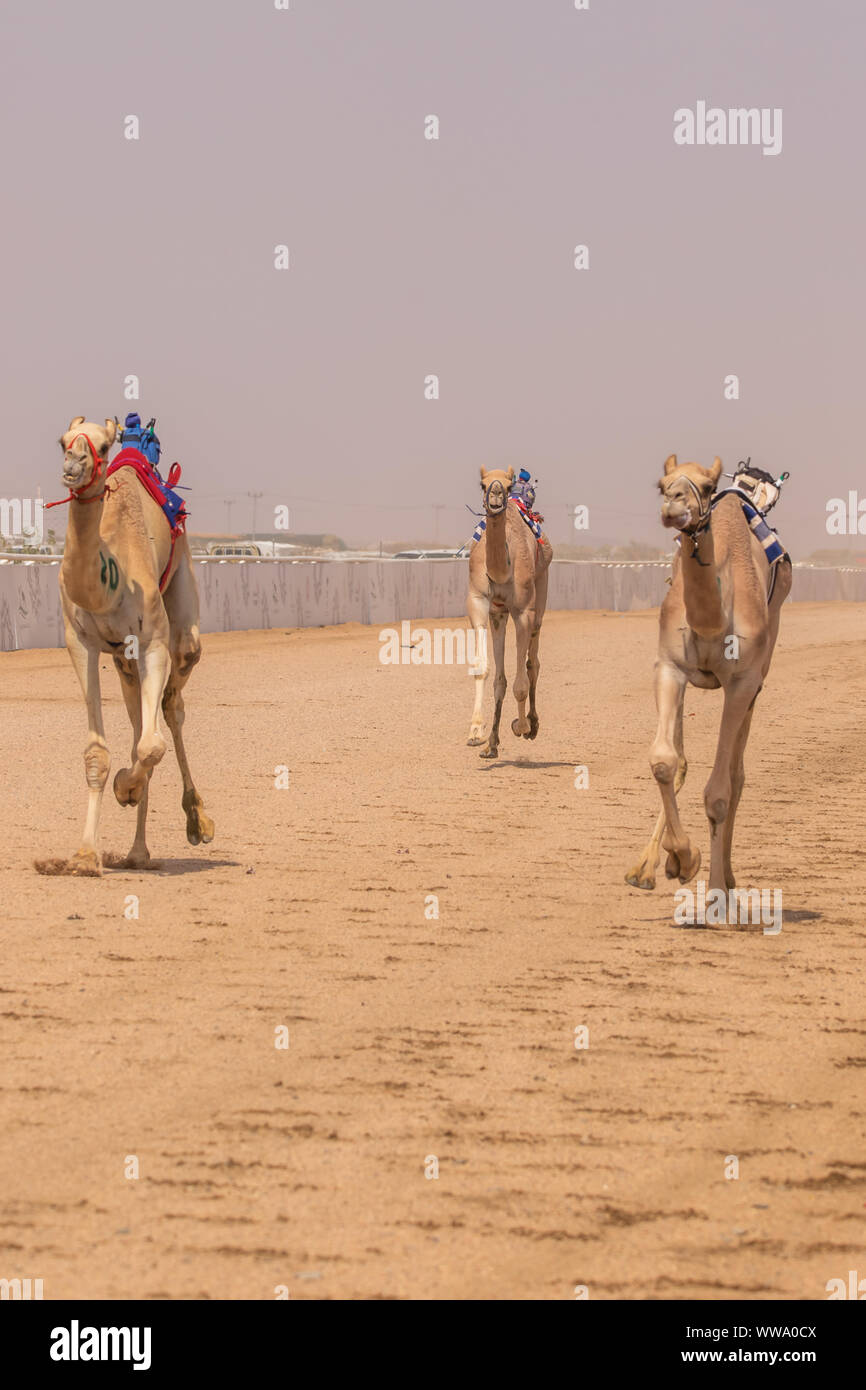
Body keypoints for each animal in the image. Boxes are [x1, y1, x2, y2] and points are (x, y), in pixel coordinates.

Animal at [40, 416, 213, 875]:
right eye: (62, 441)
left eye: (103, 445)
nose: (73, 465)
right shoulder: (81, 643)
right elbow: (99, 752)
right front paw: (85, 856)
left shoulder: (153, 641)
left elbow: (152, 746)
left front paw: (124, 788)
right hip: (122, 660)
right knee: (140, 721)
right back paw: (137, 852)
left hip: (182, 614)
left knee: (171, 706)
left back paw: (196, 820)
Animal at [466, 467, 553, 757]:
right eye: (482, 484)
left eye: (506, 485)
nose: (495, 496)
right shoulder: (479, 602)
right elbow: (483, 669)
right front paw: (476, 733)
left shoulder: (523, 611)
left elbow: (521, 683)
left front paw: (521, 726)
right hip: (499, 614)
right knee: (501, 678)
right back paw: (492, 743)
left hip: (541, 590)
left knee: (532, 663)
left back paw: (532, 724)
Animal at [625, 454, 791, 906]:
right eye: (661, 483)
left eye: (706, 485)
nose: (673, 504)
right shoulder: (669, 667)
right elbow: (665, 761)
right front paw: (679, 859)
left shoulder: (743, 683)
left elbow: (720, 789)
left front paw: (714, 892)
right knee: (684, 761)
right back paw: (651, 867)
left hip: (759, 678)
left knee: (736, 774)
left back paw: (728, 881)